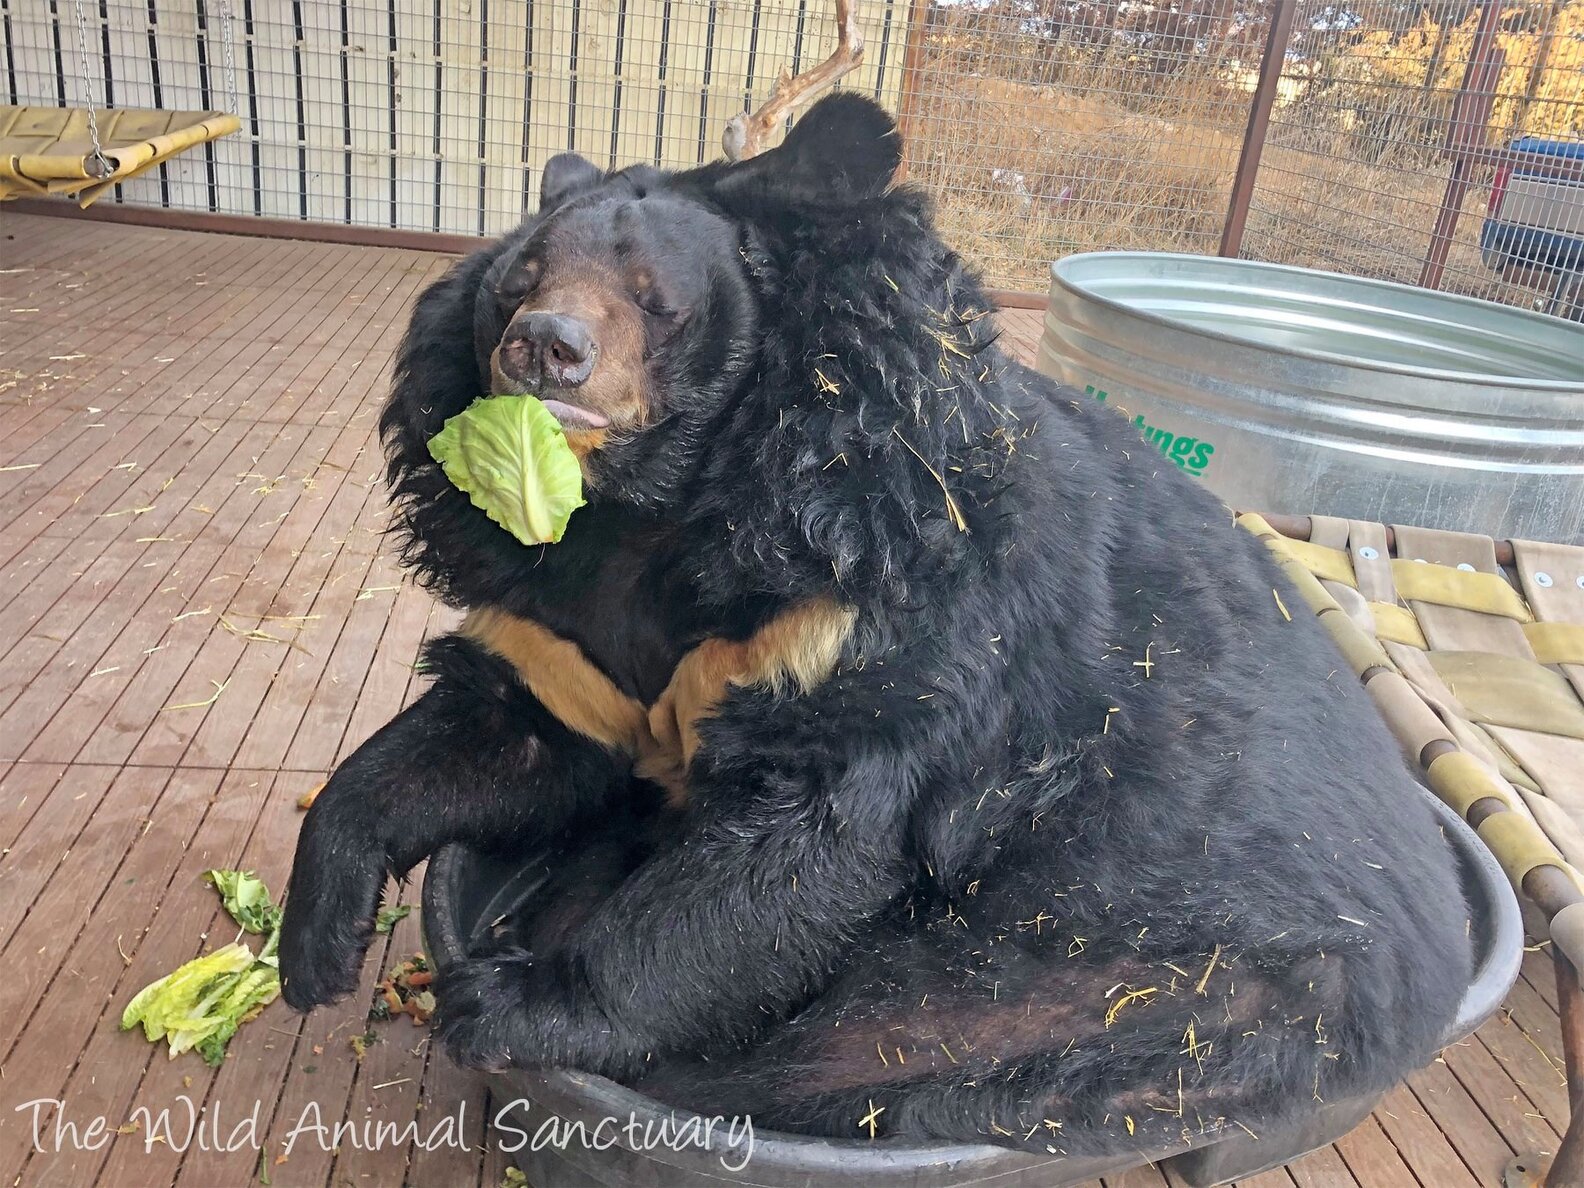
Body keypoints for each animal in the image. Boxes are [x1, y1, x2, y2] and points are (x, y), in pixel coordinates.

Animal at [278, 92, 1473, 1156]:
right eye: (514, 285)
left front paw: (504, 1002)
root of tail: (1443, 945)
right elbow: (499, 736)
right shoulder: (566, 635)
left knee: (855, 1052)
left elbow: (797, 847)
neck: (644, 513)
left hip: (1146, 979)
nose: (546, 347)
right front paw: (317, 945)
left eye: (655, 299)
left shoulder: (861, 617)